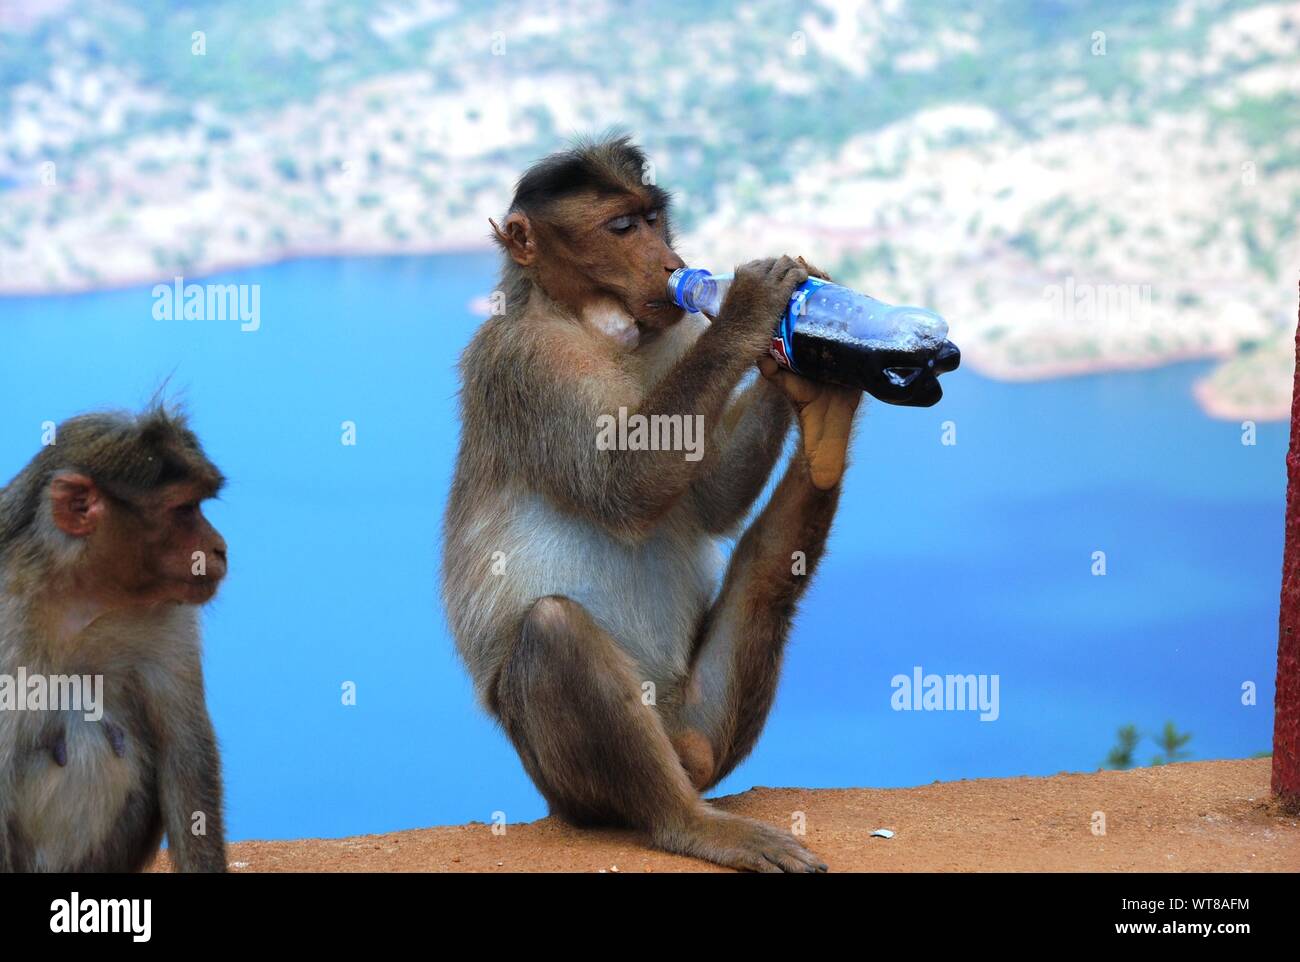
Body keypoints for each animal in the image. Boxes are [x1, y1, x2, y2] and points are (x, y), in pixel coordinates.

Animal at [0, 405, 229, 872]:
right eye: (184, 510)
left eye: (198, 506)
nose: (219, 548)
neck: (78, 595)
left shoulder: (170, 616)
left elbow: (185, 751)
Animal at [442, 136, 862, 872]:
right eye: (621, 227)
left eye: (654, 218)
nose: (671, 263)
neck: (596, 325)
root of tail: (680, 750)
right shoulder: (525, 362)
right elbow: (622, 485)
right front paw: (753, 305)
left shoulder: (676, 338)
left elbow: (712, 499)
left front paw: (800, 357)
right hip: (565, 780)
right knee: (553, 629)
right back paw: (687, 824)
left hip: (699, 718)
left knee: (766, 576)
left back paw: (827, 430)